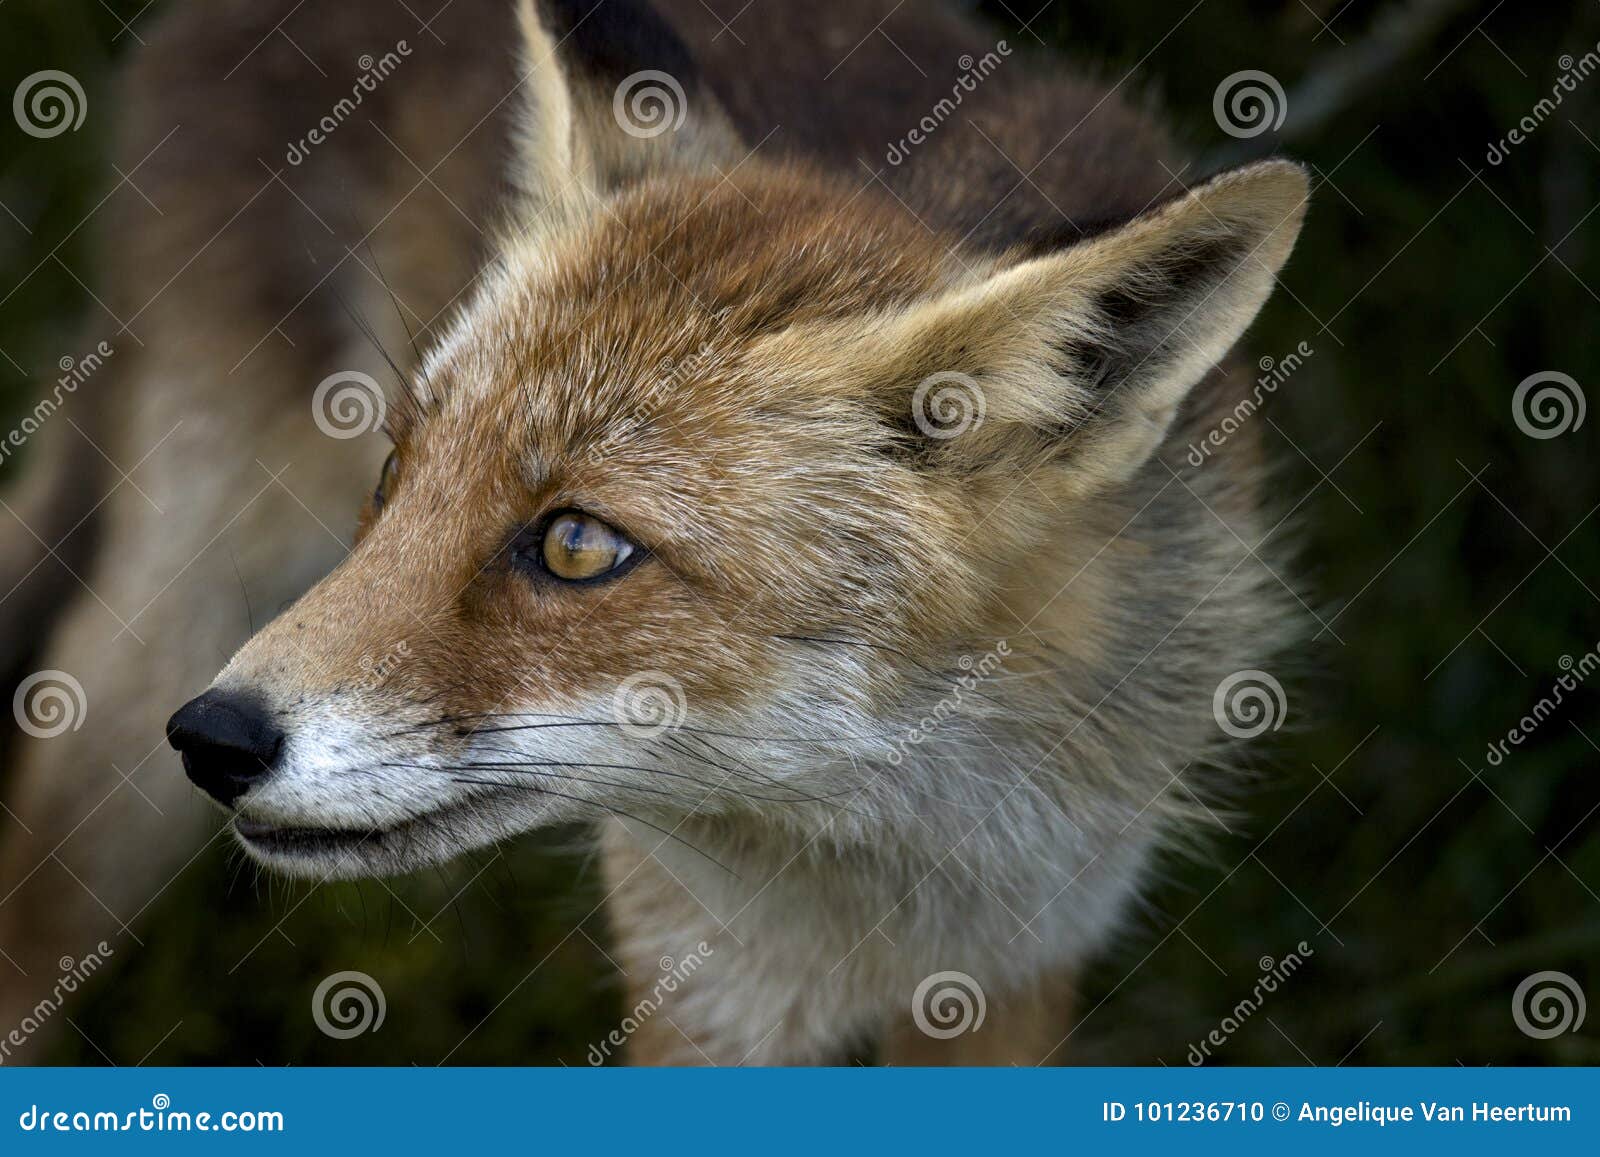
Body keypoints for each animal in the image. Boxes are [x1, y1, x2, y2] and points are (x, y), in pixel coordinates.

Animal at [1, 0, 1305, 1065]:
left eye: (579, 544)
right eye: (398, 468)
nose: (214, 737)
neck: (888, 848)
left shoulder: (1017, 967)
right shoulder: (706, 987)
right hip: (168, 642)